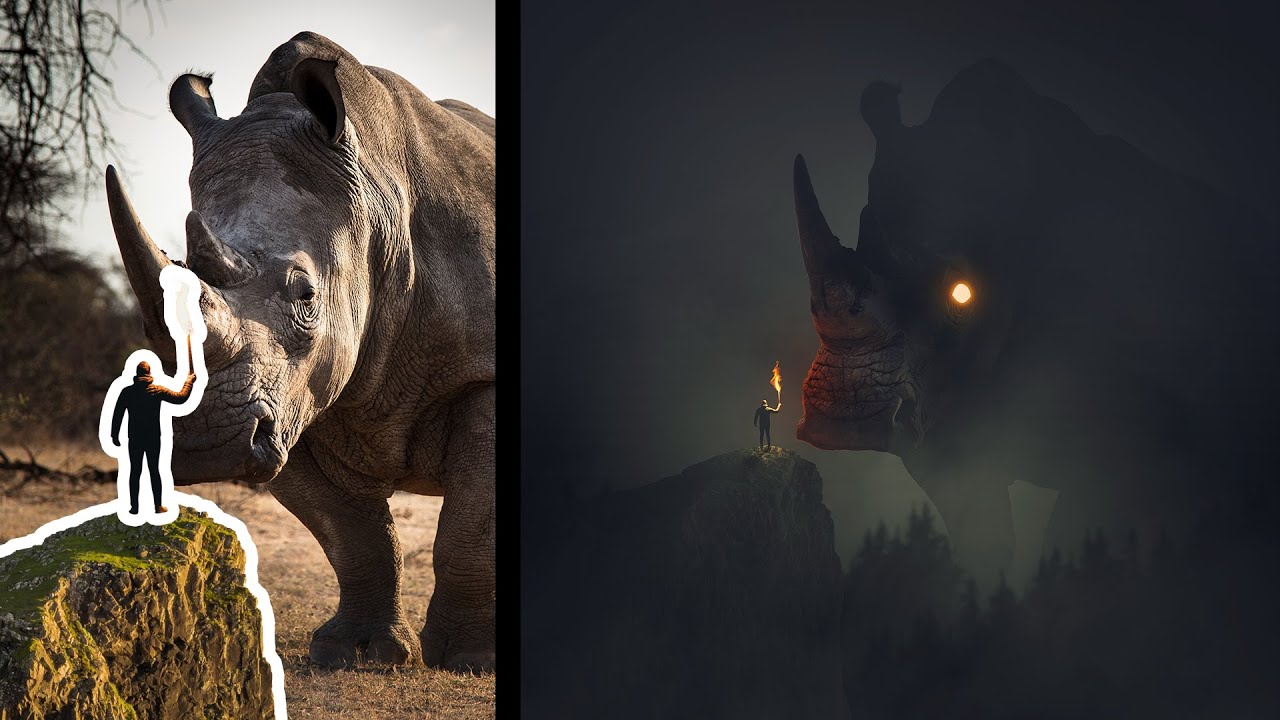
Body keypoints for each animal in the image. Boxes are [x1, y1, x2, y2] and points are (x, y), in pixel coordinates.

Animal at [107, 32, 494, 671]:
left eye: (306, 295)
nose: (208, 446)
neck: (377, 203)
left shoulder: (482, 371)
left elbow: (470, 524)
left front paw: (469, 660)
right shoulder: (291, 403)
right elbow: (351, 534)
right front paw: (356, 652)